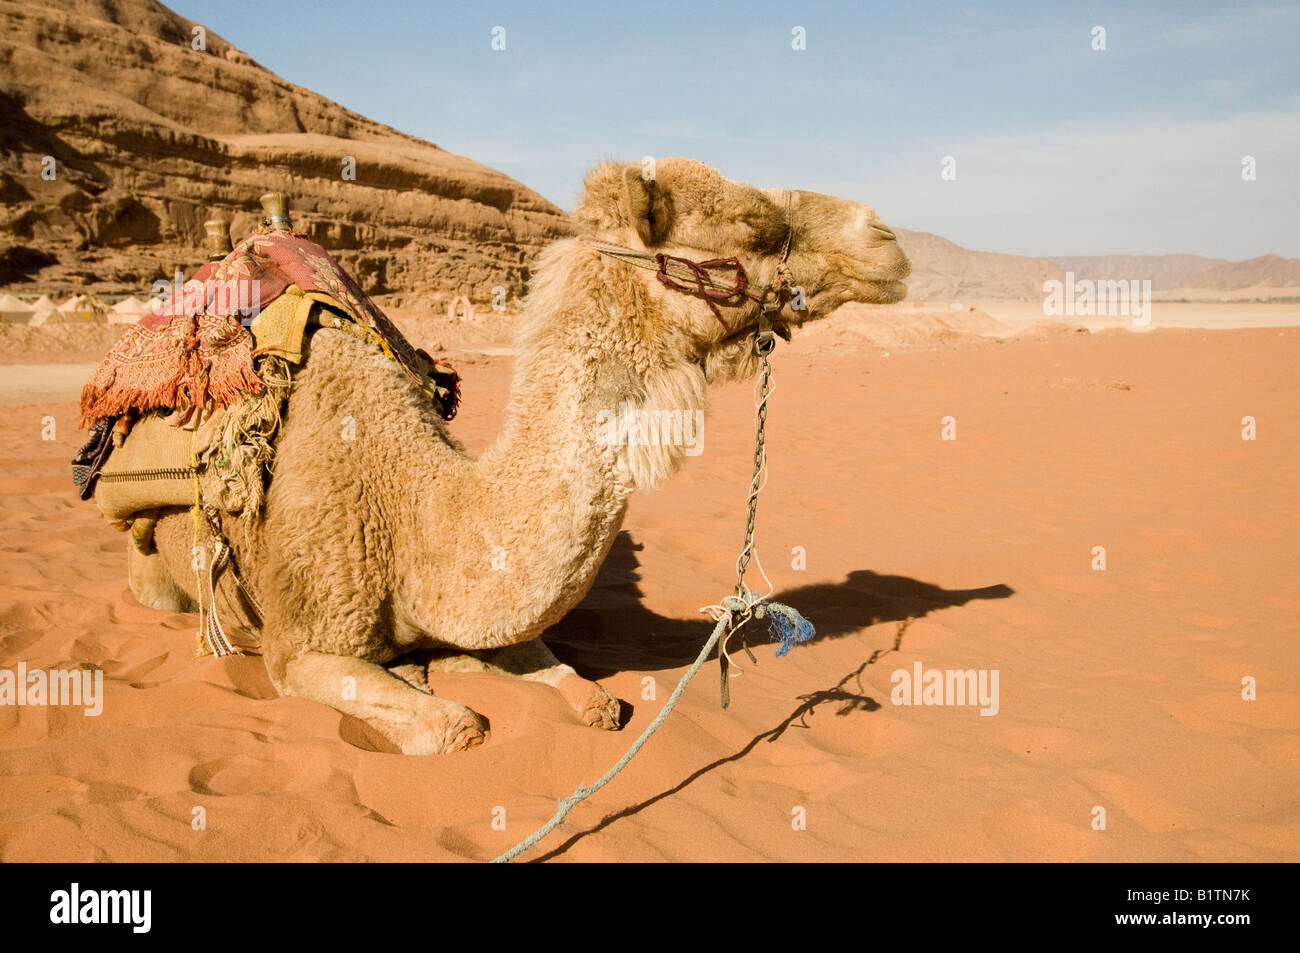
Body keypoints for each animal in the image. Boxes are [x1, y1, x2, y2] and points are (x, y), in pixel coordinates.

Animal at [127, 158, 911, 754]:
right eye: (752, 225)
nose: (886, 236)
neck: (409, 514)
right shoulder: (301, 643)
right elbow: (456, 727)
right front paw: (431, 685)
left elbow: (587, 694)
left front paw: (462, 667)